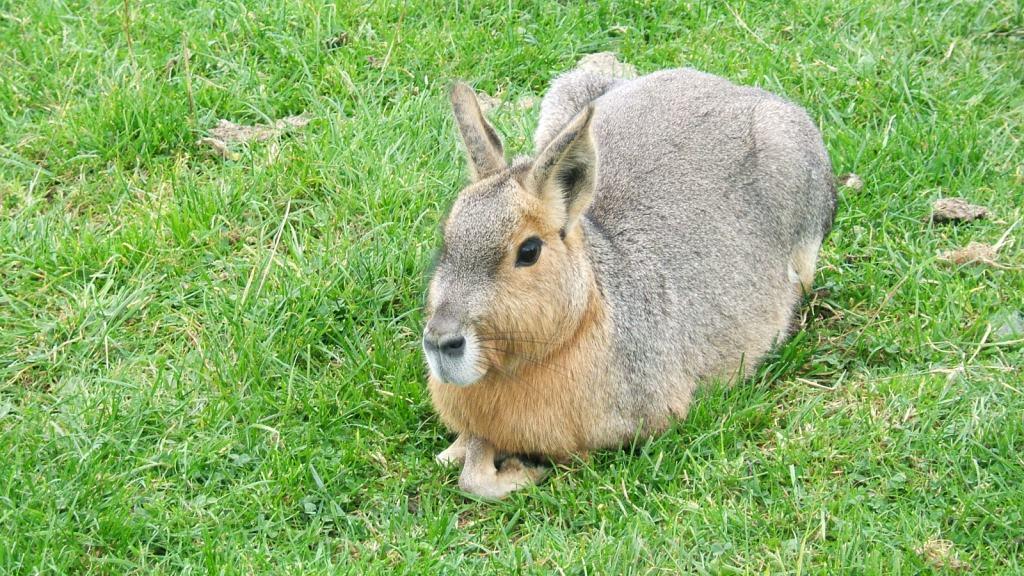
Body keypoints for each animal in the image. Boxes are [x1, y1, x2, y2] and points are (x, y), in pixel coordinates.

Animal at [422, 66, 836, 499]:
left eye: (529, 251)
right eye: (447, 237)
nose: (441, 342)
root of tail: (730, 87)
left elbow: (484, 475)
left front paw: (523, 470)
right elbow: (466, 465)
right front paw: (465, 455)